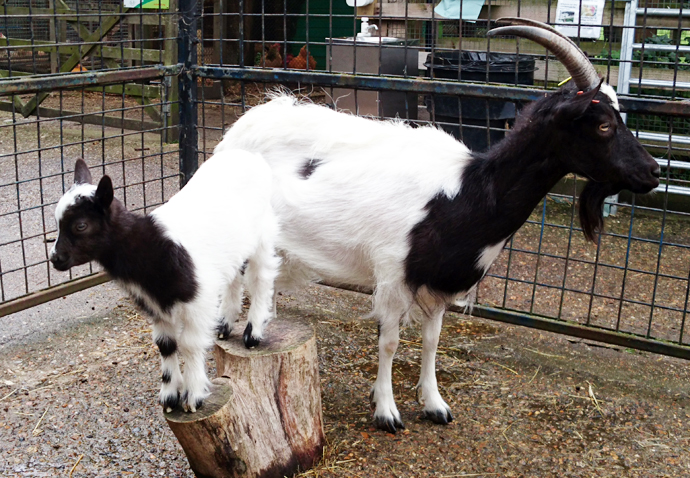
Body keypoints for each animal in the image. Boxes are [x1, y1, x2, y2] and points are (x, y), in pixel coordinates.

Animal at [50, 152, 280, 413]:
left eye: (81, 225)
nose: (55, 259)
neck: (150, 249)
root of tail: (247, 154)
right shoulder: (155, 304)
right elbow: (165, 345)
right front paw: (170, 397)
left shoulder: (197, 301)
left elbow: (190, 344)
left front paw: (192, 396)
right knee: (234, 276)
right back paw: (224, 325)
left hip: (264, 233)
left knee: (261, 278)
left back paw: (253, 333)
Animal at [214, 19, 661, 433]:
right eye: (603, 124)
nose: (653, 172)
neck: (468, 192)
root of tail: (246, 123)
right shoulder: (394, 270)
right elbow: (390, 342)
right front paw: (386, 411)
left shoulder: (440, 277)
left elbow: (432, 341)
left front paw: (434, 405)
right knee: (240, 271)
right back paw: (240, 328)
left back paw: (251, 325)